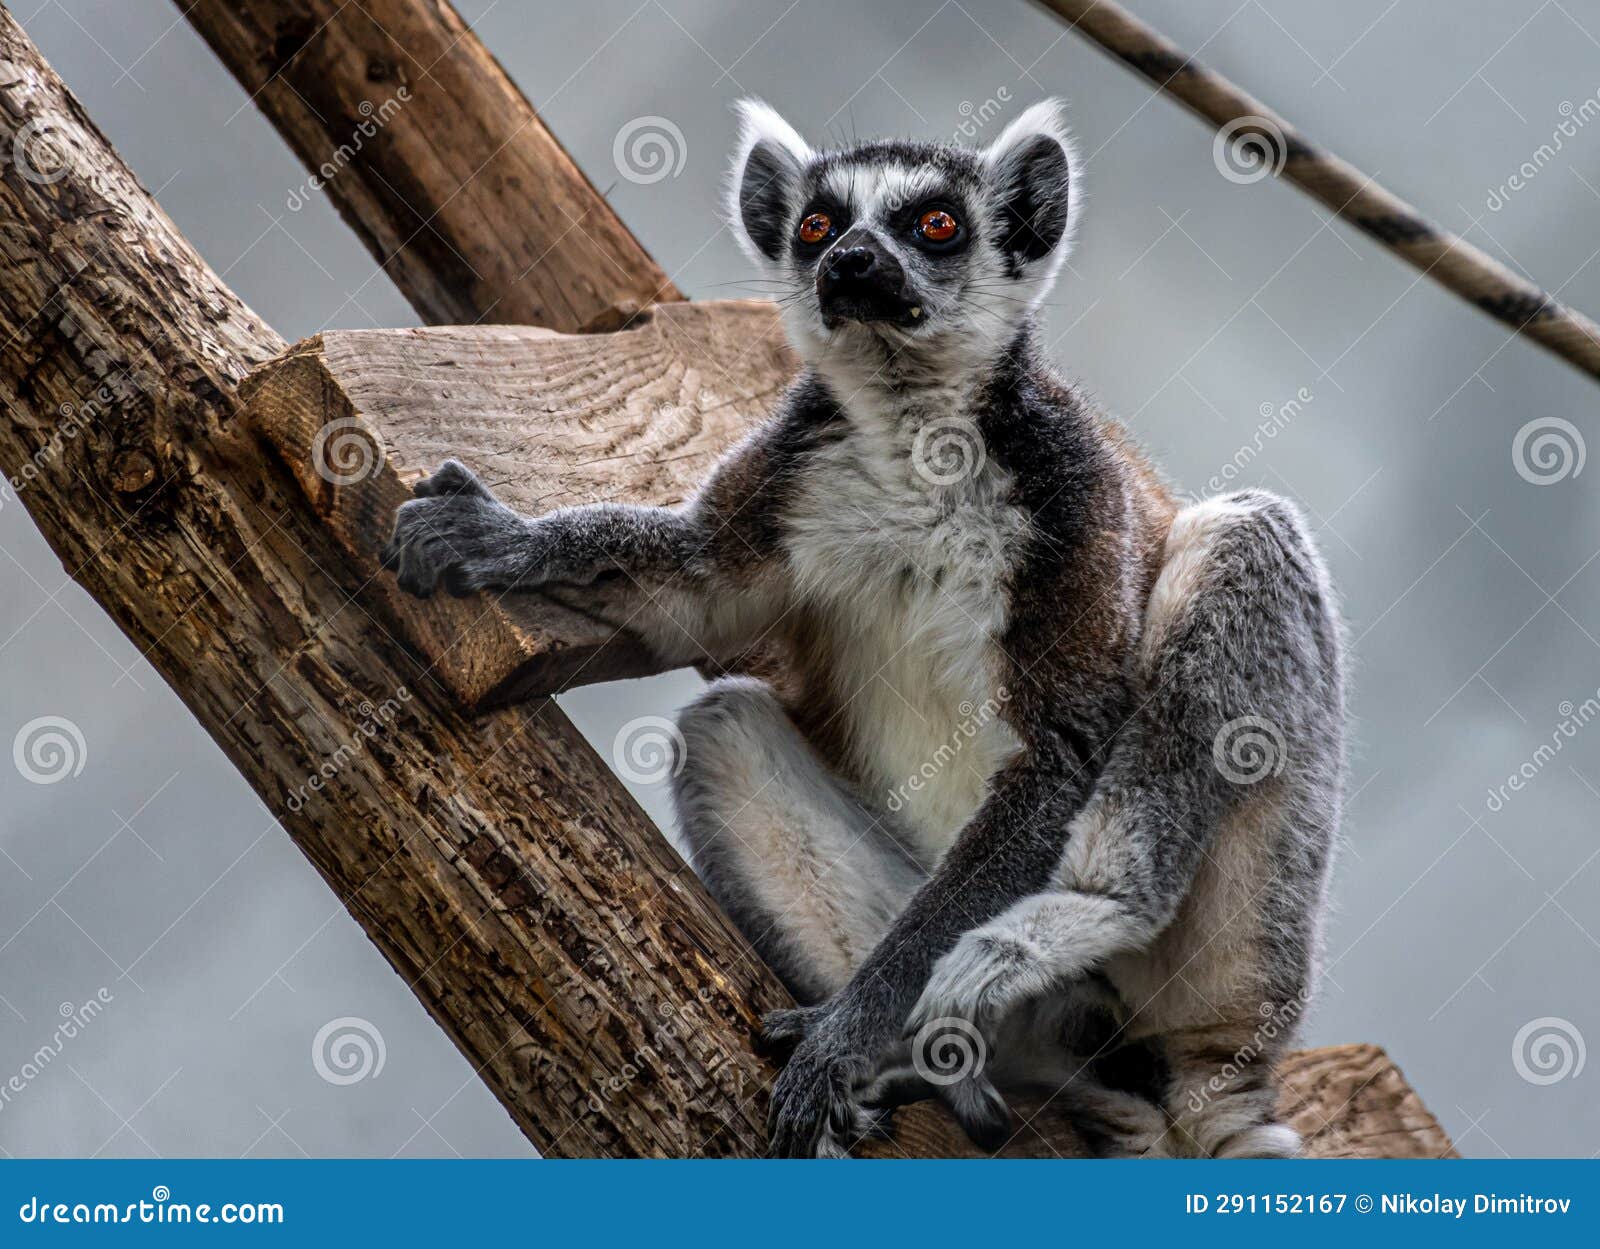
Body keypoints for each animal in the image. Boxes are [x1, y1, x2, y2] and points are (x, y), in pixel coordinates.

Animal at [381, 99, 1344, 1159]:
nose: (847, 262)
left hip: (1246, 947)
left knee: (1249, 531)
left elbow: (1062, 745)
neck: (914, 432)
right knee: (722, 728)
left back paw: (1085, 915)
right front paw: (507, 541)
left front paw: (846, 1036)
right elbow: (695, 590)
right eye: (817, 225)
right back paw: (928, 1066)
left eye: (934, 225)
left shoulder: (1073, 489)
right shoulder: (799, 462)